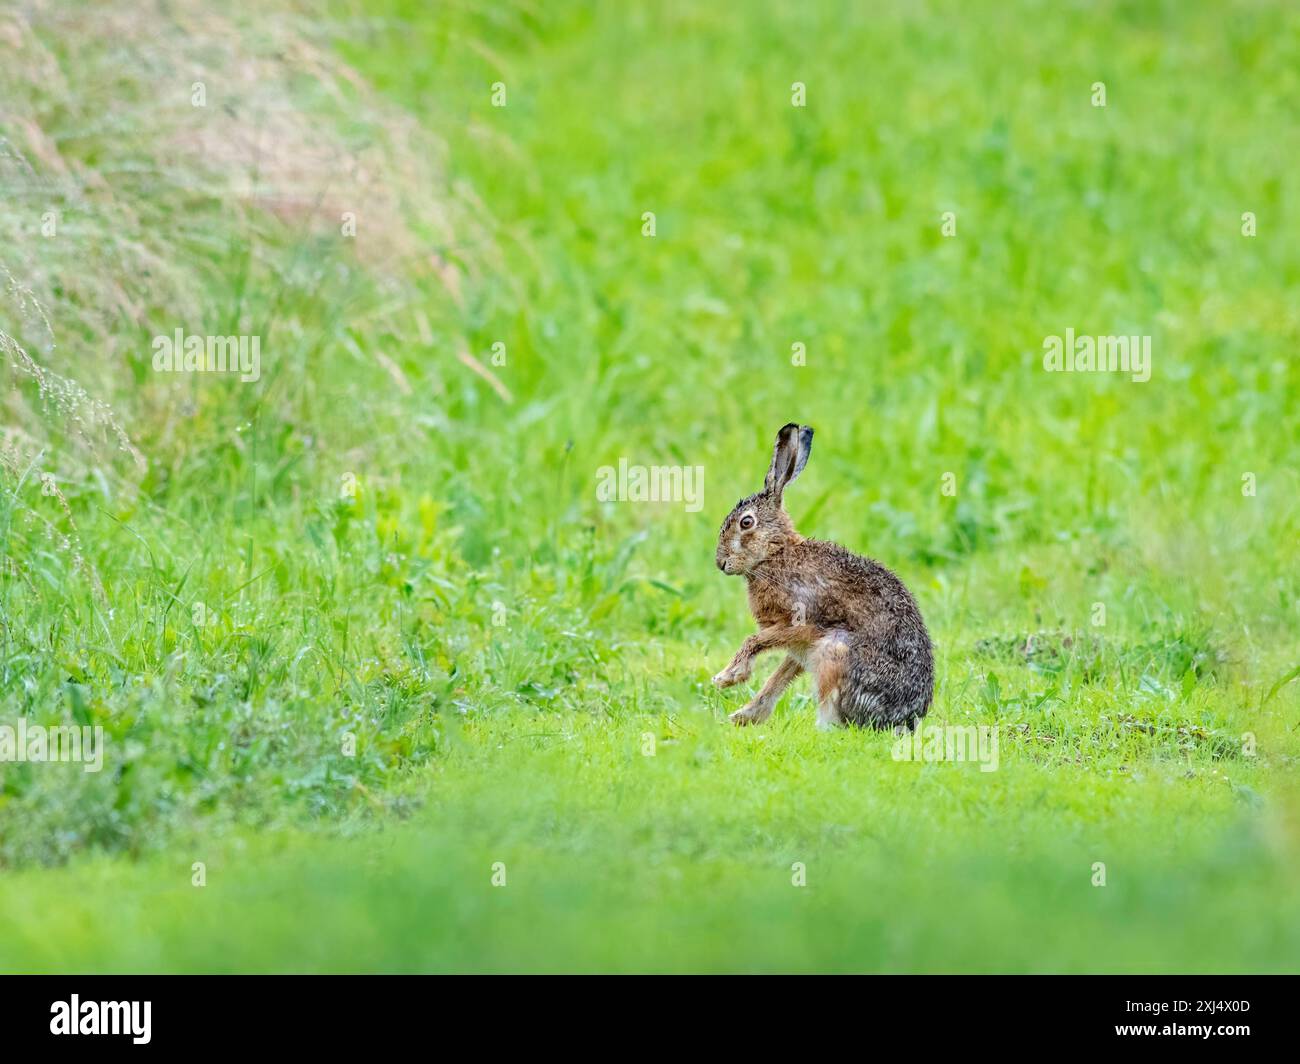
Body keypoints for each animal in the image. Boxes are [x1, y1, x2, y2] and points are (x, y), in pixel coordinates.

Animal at [712, 423, 934, 731]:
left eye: (746, 523)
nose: (721, 563)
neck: (776, 554)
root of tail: (902, 720)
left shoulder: (802, 623)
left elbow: (754, 641)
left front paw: (728, 677)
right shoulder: (799, 647)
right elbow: (779, 677)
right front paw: (743, 716)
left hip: (835, 651)